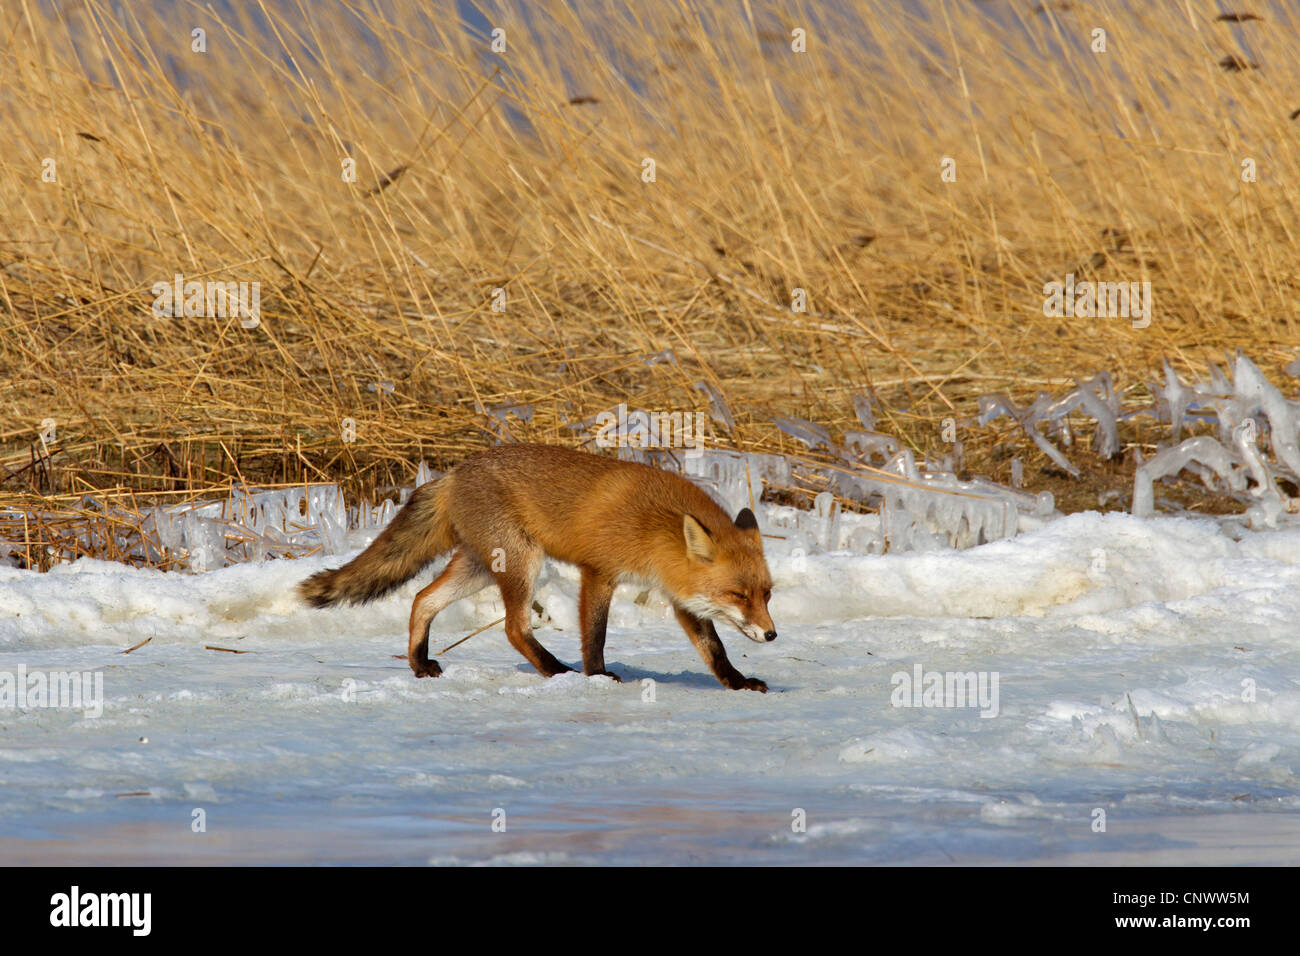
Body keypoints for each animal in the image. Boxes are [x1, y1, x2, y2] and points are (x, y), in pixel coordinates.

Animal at [298, 443, 777, 691]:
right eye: (738, 595)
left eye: (766, 594)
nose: (772, 635)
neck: (656, 526)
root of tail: (453, 474)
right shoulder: (598, 572)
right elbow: (595, 636)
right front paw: (597, 676)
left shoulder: (680, 595)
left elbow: (714, 649)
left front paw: (736, 682)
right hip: (520, 562)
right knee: (513, 628)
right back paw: (556, 670)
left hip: (480, 566)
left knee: (422, 598)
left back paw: (419, 663)